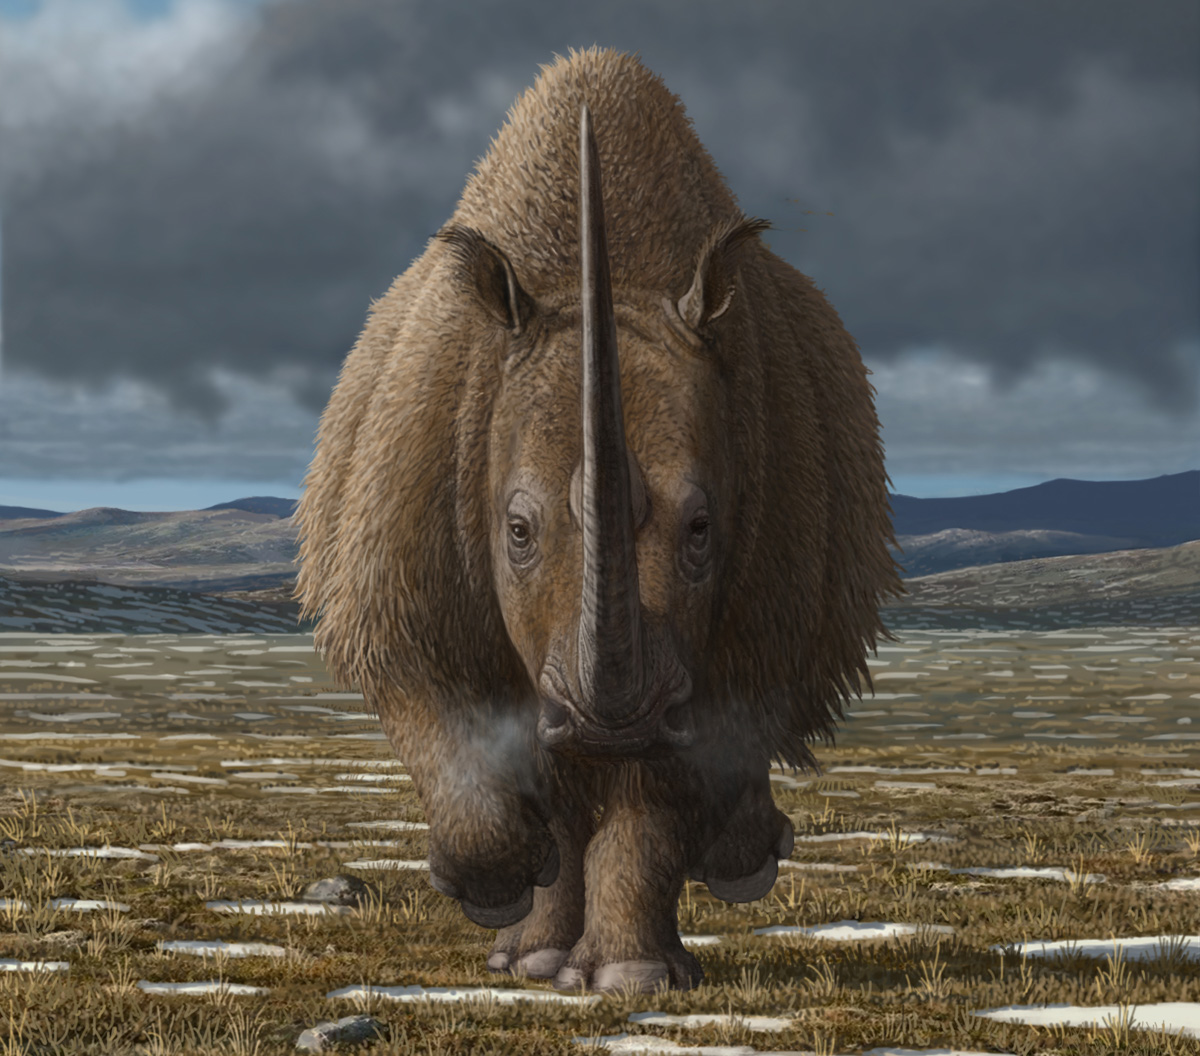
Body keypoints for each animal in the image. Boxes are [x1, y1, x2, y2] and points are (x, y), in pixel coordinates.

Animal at [295, 46, 902, 994]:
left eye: (702, 529)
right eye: (516, 530)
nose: (607, 720)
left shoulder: (752, 628)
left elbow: (660, 796)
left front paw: (633, 981)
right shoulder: (397, 584)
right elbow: (451, 728)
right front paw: (497, 893)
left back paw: (727, 874)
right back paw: (529, 954)